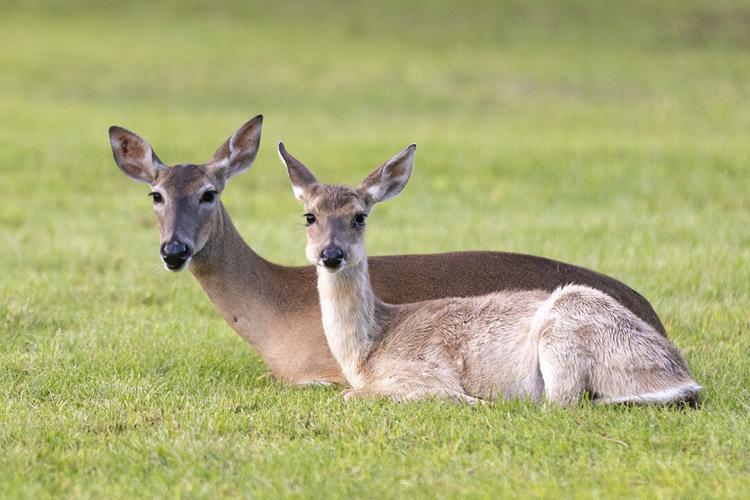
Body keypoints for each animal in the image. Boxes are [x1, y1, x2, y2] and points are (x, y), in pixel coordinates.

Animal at [278, 141, 701, 405]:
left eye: (360, 216)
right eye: (309, 216)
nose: (331, 254)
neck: (368, 351)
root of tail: (682, 378)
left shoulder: (423, 372)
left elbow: (353, 394)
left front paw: (471, 399)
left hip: (564, 333)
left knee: (562, 402)